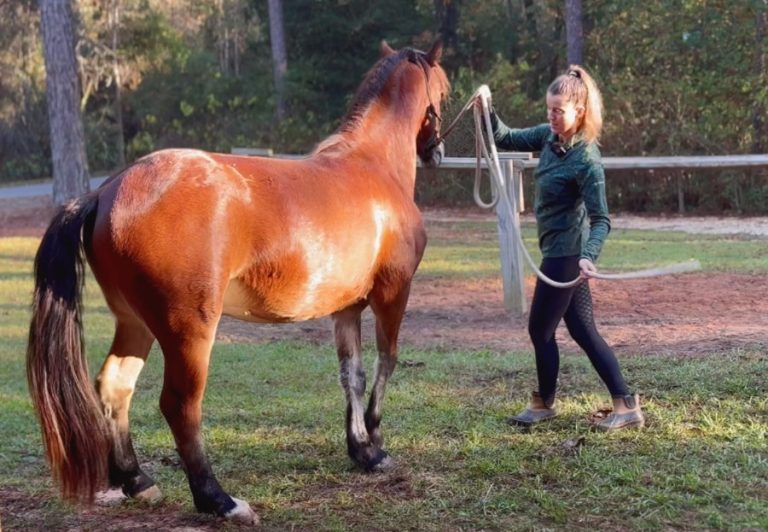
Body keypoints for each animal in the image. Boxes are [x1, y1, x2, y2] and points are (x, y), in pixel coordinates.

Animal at [26, 39, 449, 524]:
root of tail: (105, 190)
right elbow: (387, 361)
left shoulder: (346, 309)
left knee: (115, 386)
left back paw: (137, 481)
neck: (371, 166)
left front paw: (360, 448)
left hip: (134, 323)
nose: (435, 151)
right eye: (445, 91)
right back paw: (219, 501)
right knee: (180, 405)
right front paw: (376, 445)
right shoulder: (392, 295)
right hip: (189, 332)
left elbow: (352, 374)